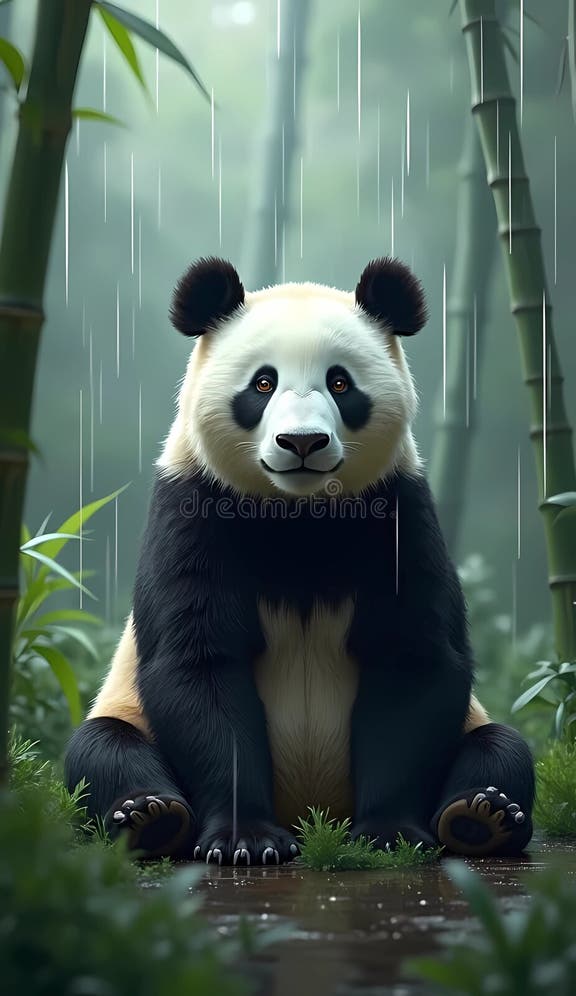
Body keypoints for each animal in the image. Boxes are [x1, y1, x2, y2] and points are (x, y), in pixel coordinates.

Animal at [65, 256, 535, 863]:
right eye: (263, 384)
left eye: (340, 382)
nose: (303, 443)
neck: (299, 512)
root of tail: (314, 811)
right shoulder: (194, 508)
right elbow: (200, 661)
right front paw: (247, 840)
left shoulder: (397, 512)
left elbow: (412, 657)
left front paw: (388, 832)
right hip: (126, 709)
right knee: (100, 748)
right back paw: (149, 816)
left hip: (469, 727)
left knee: (502, 746)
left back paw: (481, 815)